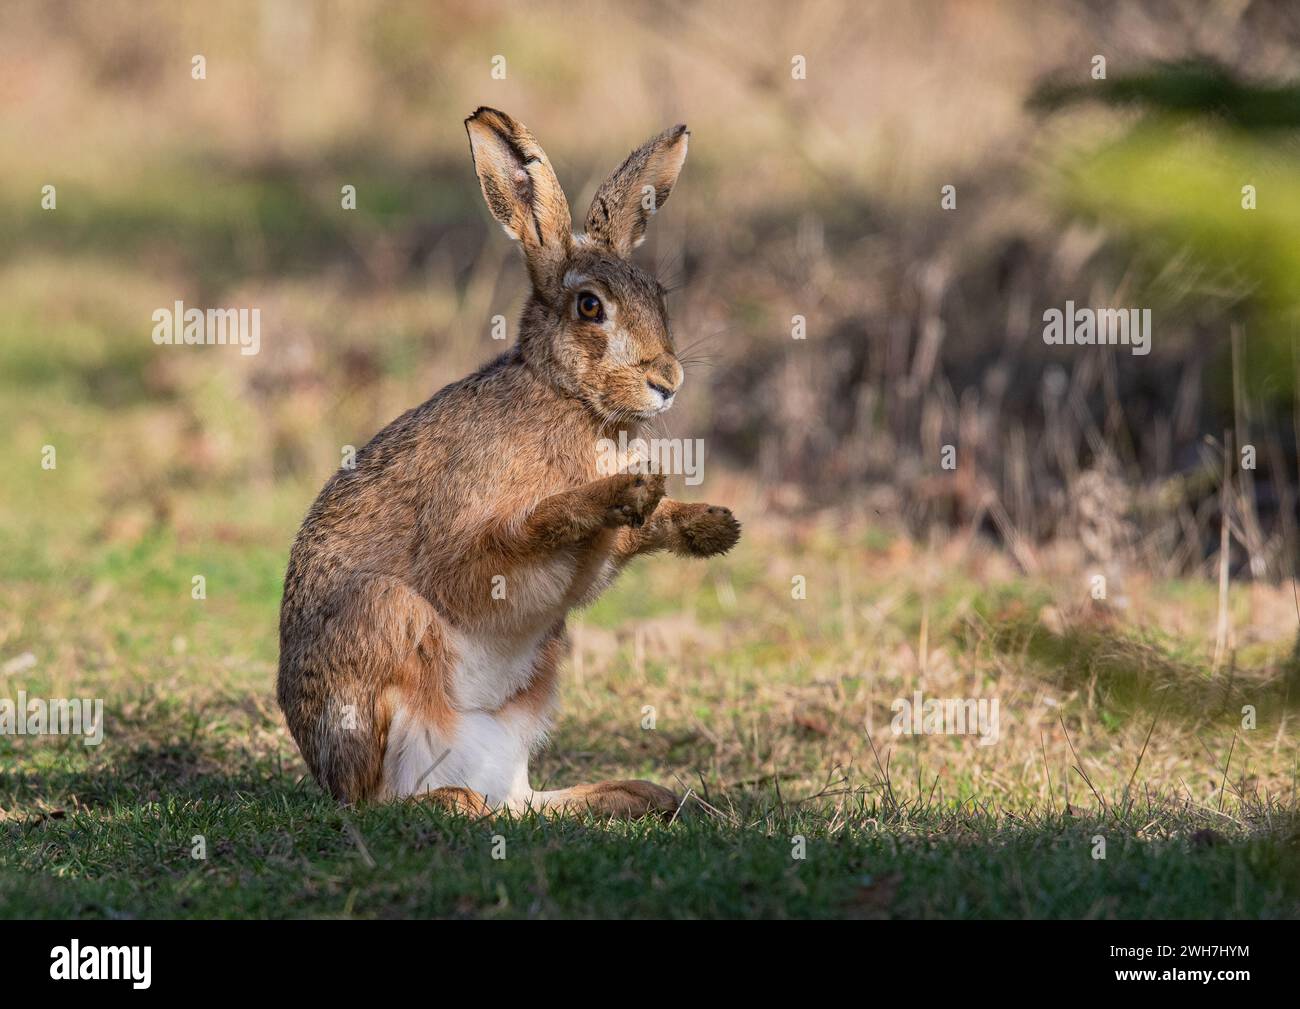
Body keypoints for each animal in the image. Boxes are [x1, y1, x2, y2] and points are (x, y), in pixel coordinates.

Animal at [277, 107, 740, 818]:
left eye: (659, 295)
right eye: (590, 307)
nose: (667, 381)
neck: (566, 396)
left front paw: (712, 524)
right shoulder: (476, 549)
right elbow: (532, 530)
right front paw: (621, 493)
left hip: (537, 685)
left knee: (531, 802)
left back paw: (641, 794)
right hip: (382, 628)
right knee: (375, 799)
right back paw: (452, 802)